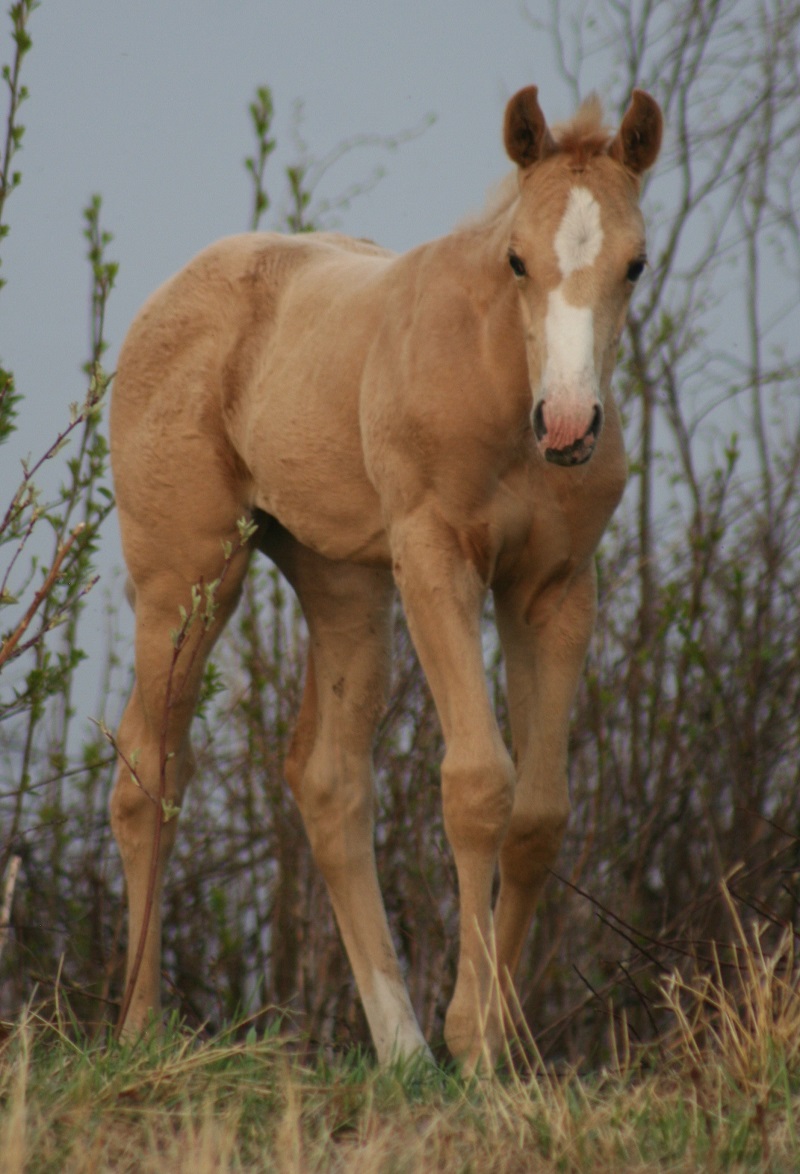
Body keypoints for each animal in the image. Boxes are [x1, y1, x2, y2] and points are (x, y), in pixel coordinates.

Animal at [109, 84, 662, 1068]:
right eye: (517, 259)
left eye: (635, 265)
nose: (567, 426)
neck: (499, 385)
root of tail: (171, 293)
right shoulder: (434, 559)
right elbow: (478, 784)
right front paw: (470, 1036)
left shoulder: (554, 589)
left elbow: (540, 813)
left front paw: (493, 1046)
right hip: (185, 576)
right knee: (148, 770)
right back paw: (140, 1030)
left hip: (343, 584)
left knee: (328, 780)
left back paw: (401, 1048)